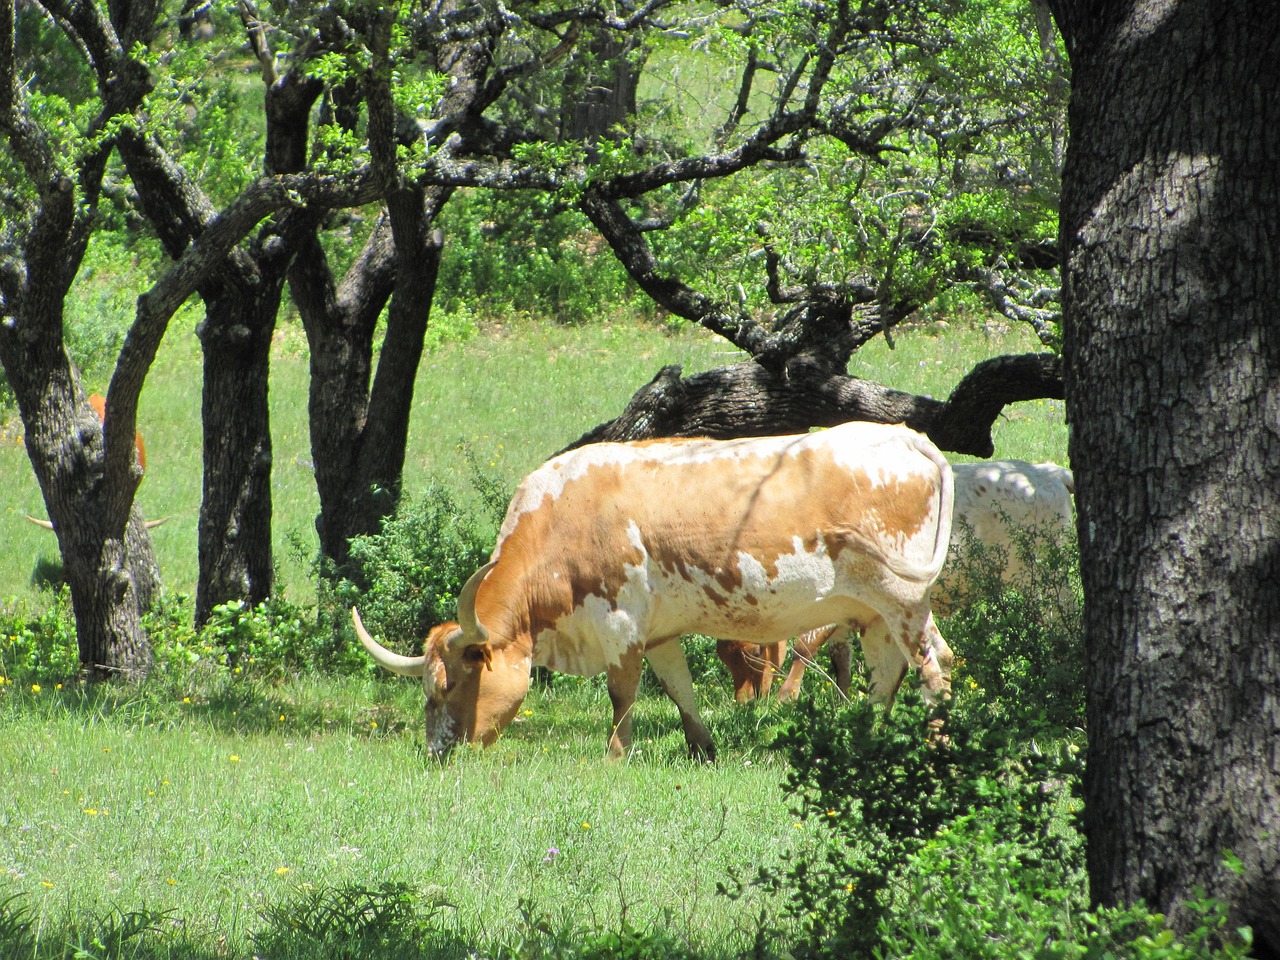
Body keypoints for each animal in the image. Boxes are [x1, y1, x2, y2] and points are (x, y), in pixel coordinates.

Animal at [352, 421, 956, 760]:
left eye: (452, 683)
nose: (437, 753)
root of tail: (904, 435)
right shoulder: (659, 631)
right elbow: (678, 686)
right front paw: (702, 747)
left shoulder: (620, 623)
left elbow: (623, 693)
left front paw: (615, 754)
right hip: (874, 614)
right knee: (886, 674)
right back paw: (867, 739)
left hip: (902, 599)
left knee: (933, 665)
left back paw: (938, 745)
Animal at [731, 459, 1076, 701]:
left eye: (749, 653)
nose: (746, 701)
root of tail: (1048, 472)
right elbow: (839, 657)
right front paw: (842, 701)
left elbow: (805, 645)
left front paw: (785, 699)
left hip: (1046, 582)